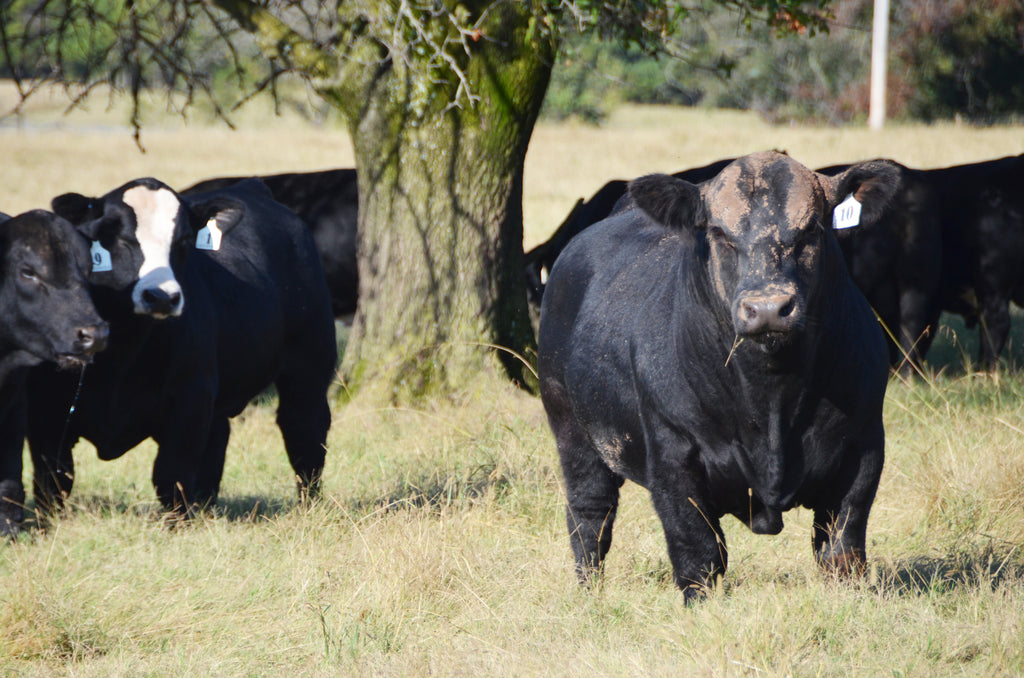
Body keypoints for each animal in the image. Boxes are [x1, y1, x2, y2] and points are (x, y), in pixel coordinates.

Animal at [23, 177, 336, 523]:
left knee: (305, 432)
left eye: (184, 240)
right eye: (116, 237)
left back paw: (309, 506)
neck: (122, 356)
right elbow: (52, 482)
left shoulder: (189, 399)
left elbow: (171, 476)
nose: (161, 296)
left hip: (309, 366)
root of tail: (252, 187)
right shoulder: (47, 411)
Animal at [538, 152, 899, 601]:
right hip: (570, 427)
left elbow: (842, 547)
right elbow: (698, 552)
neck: (772, 402)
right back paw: (590, 591)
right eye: (719, 233)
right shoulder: (673, 455)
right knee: (590, 513)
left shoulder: (864, 445)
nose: (768, 308)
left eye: (812, 229)